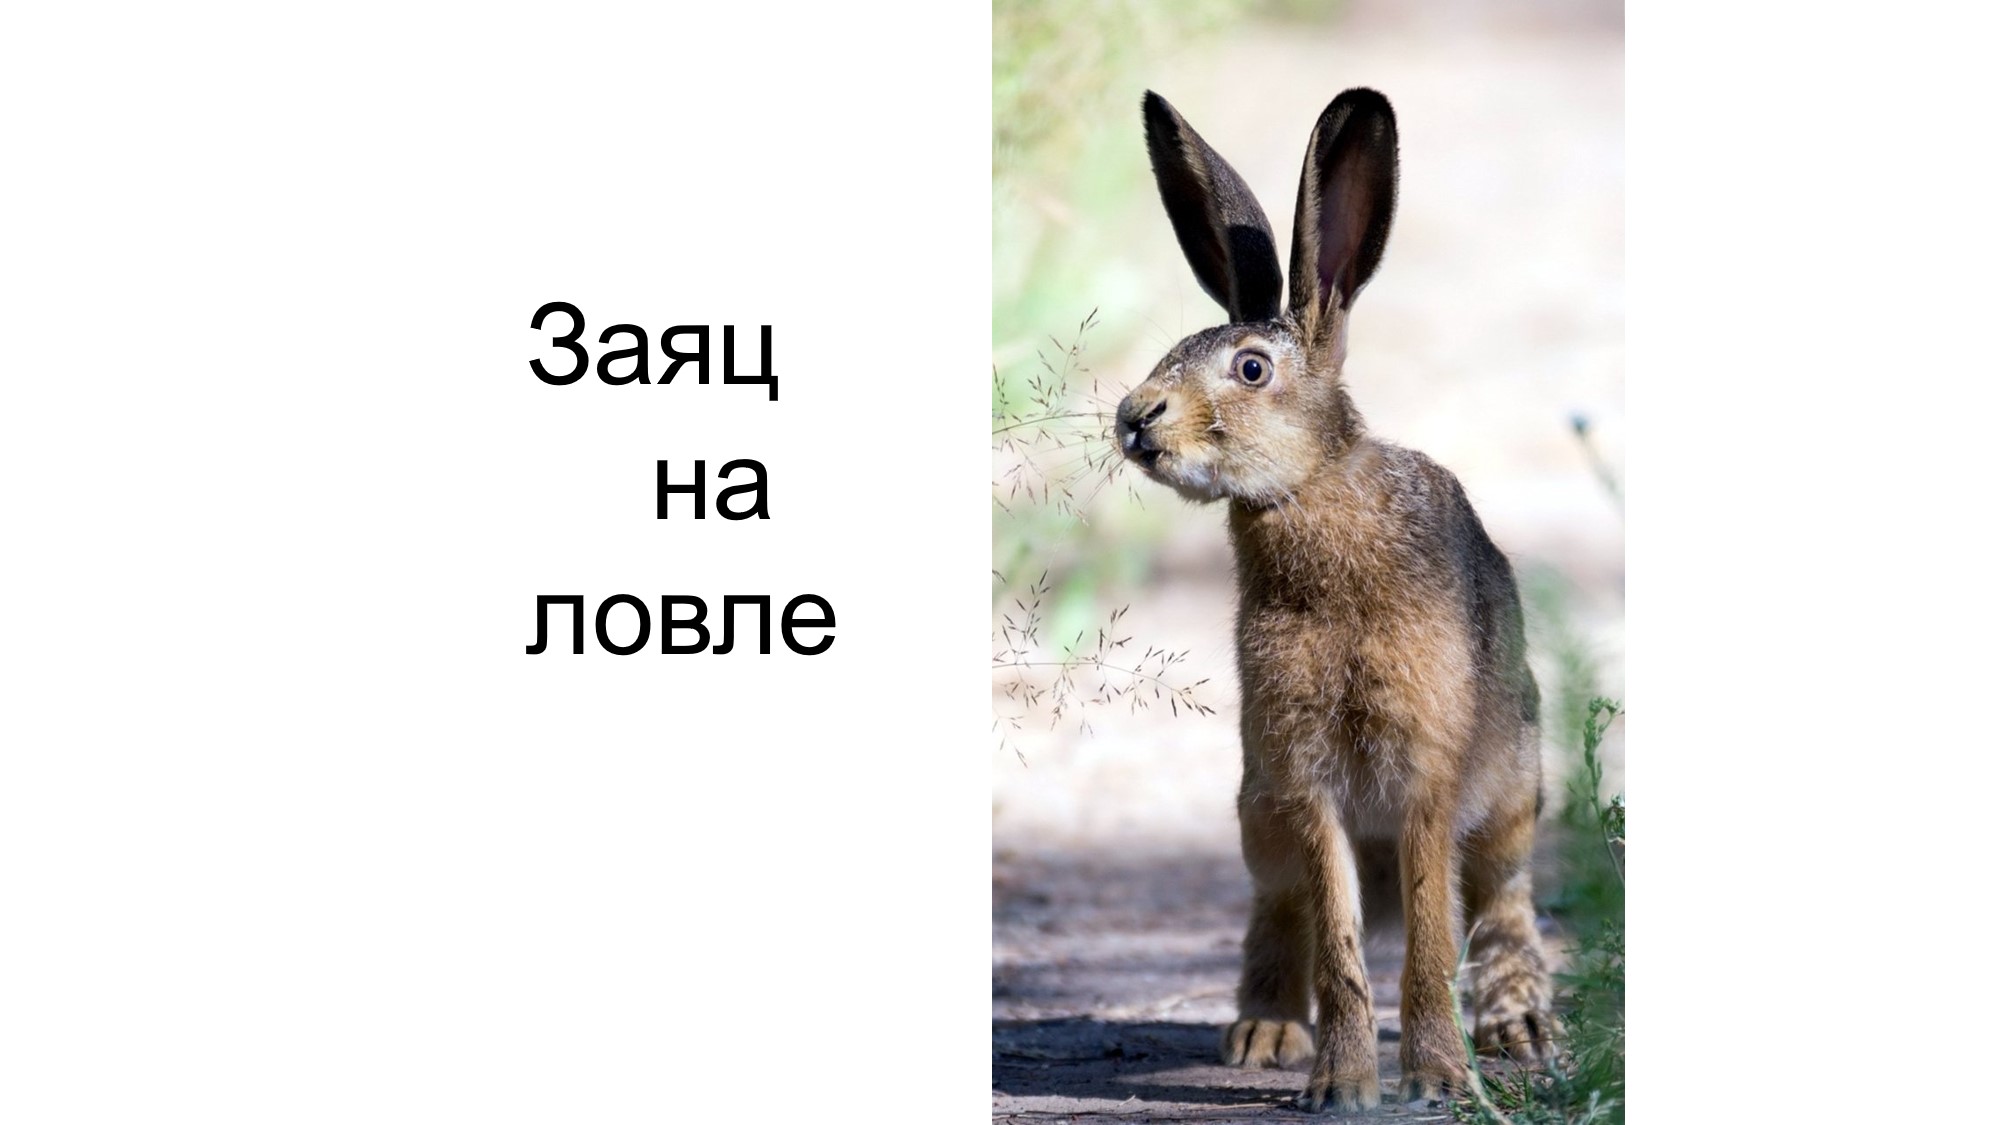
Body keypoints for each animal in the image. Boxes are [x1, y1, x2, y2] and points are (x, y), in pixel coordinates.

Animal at [1114, 89, 1555, 1112]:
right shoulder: (1305, 777)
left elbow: (1430, 935)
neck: (1308, 492)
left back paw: (1518, 1022)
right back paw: (1263, 1033)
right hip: (1259, 811)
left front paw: (1434, 1078)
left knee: (1502, 903)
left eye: (1250, 369)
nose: (1133, 419)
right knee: (1282, 914)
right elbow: (1344, 944)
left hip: (1511, 796)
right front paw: (1344, 1087)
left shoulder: (1428, 768)